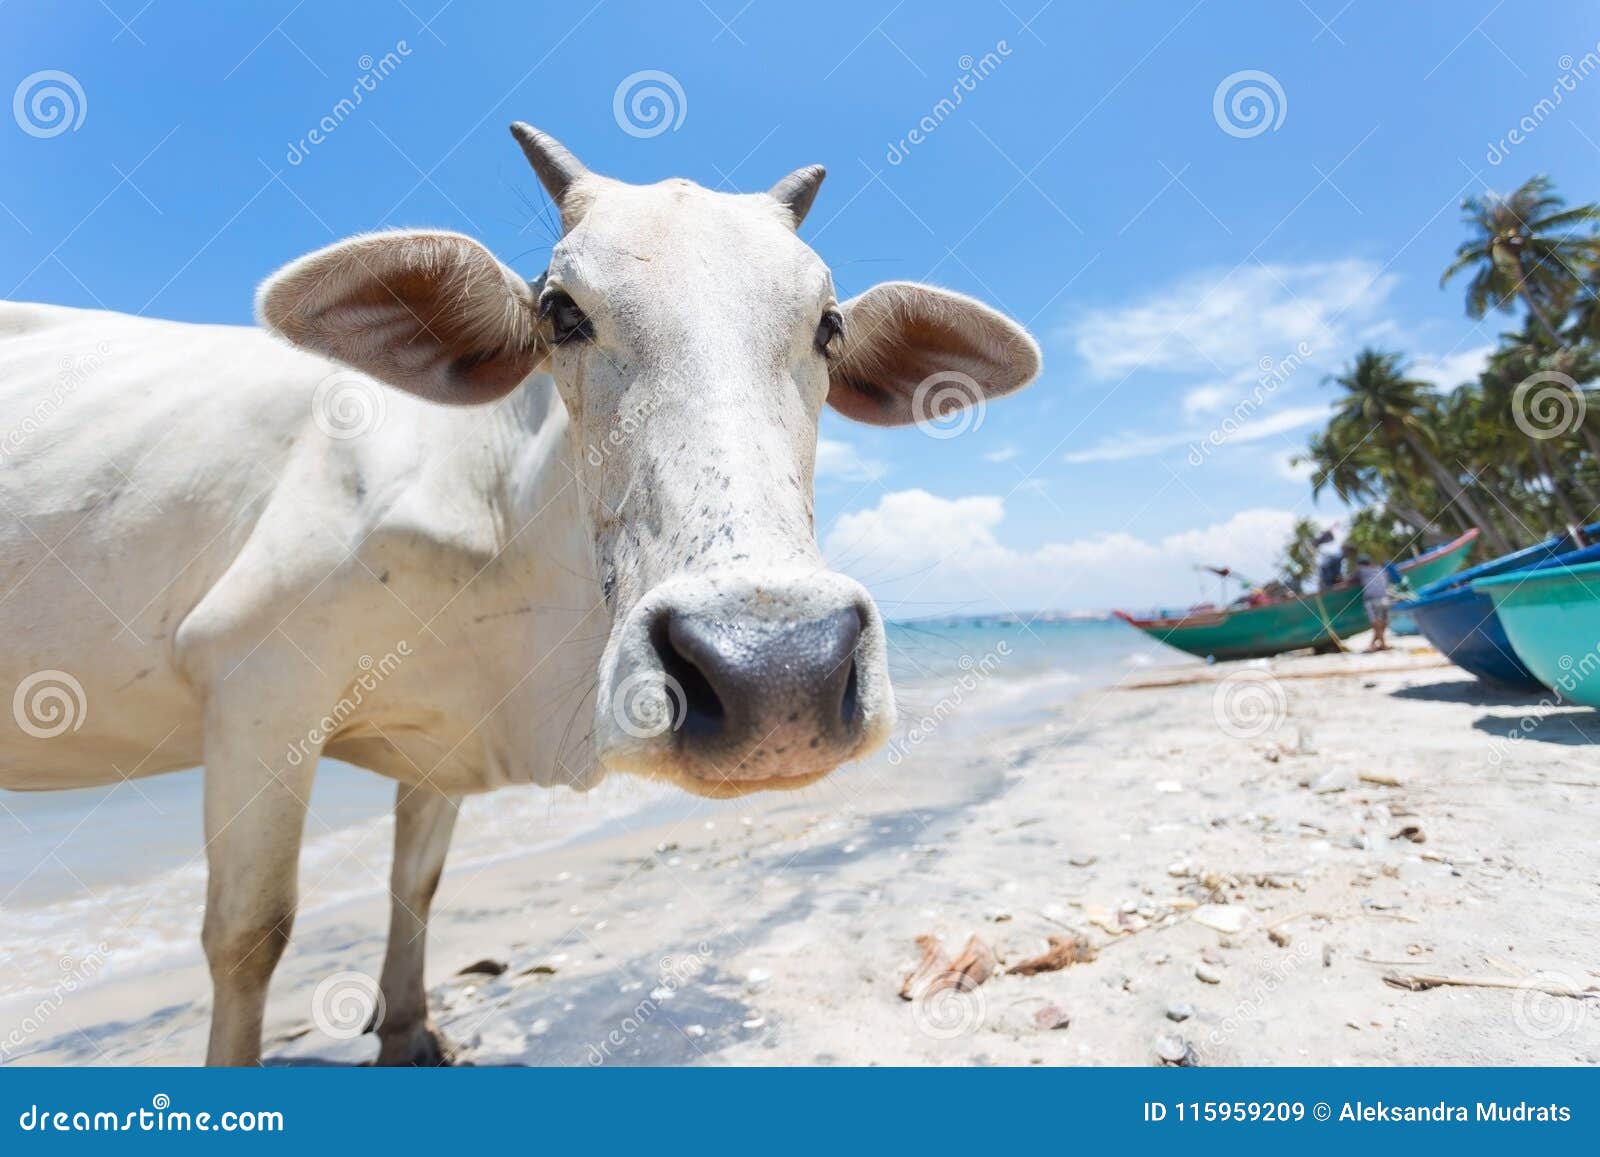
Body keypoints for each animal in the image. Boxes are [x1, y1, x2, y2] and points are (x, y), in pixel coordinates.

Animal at [0, 125, 1040, 1065]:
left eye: (827, 325)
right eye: (560, 310)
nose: (775, 672)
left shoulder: (437, 739)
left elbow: (415, 883)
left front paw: (411, 1033)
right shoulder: (258, 682)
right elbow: (249, 936)